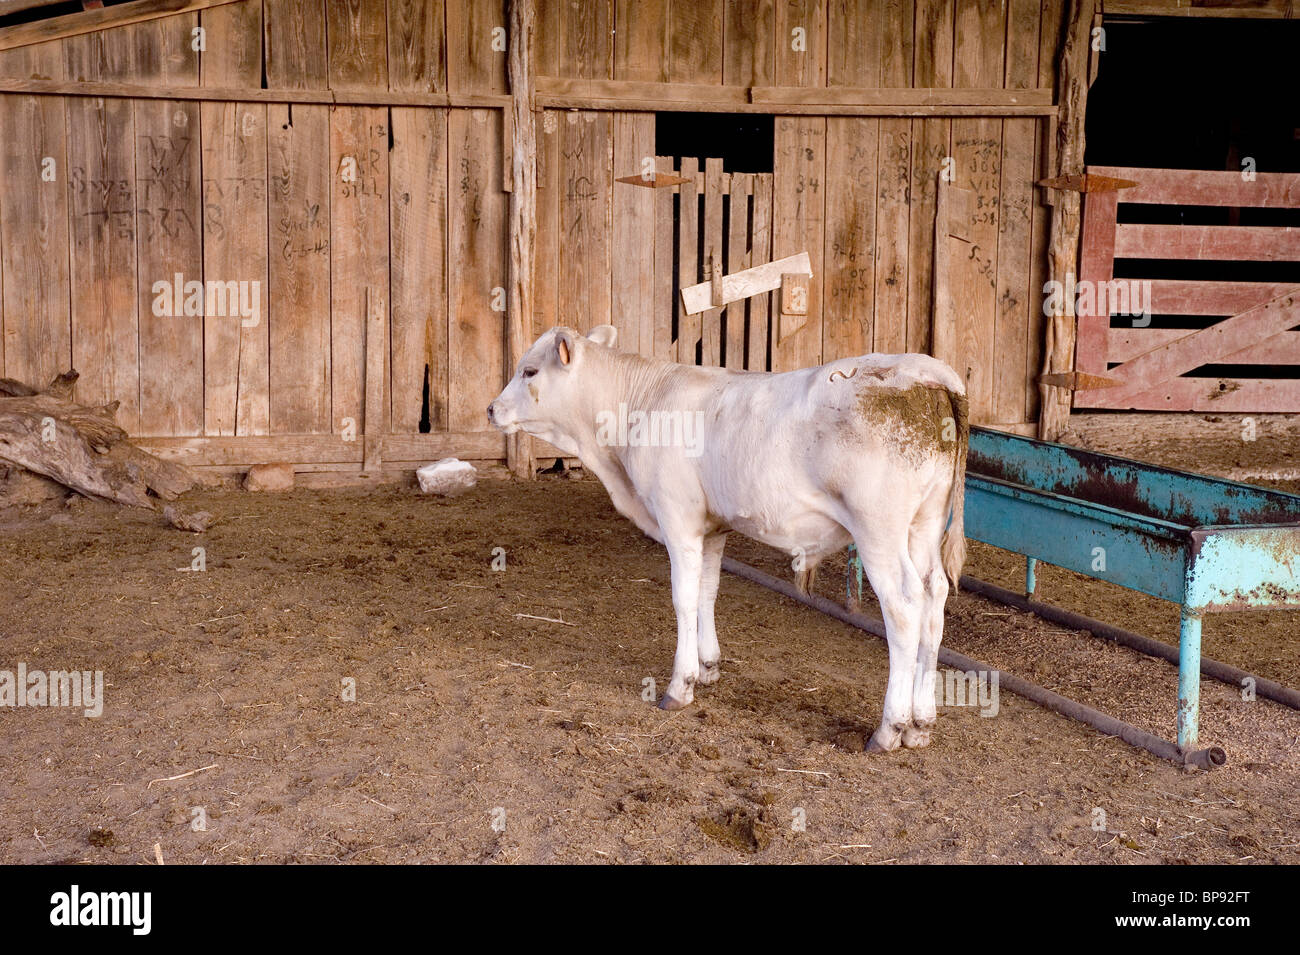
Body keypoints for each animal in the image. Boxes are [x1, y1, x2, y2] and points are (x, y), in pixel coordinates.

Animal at [487, 325, 968, 753]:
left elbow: (683, 598)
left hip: (878, 530)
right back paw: (921, 723)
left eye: (529, 371)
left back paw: (890, 728)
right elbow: (707, 591)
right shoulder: (712, 526)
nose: (491, 409)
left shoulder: (677, 516)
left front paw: (679, 686)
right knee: (933, 600)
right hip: (924, 524)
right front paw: (708, 666)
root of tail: (926, 370)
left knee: (904, 608)